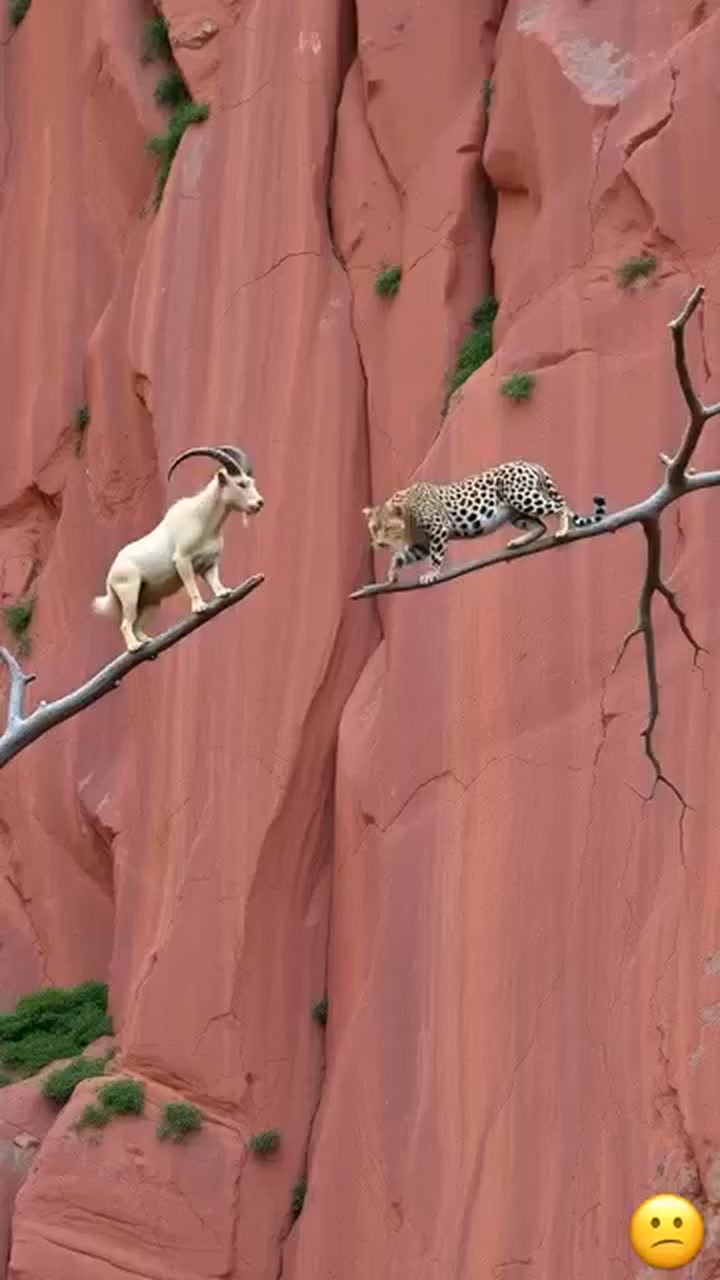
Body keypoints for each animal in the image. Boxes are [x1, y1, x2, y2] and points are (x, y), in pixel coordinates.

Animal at [91, 444, 264, 652]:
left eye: (251, 482)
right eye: (240, 484)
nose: (259, 503)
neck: (202, 519)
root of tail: (111, 575)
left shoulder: (209, 564)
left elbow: (214, 581)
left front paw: (224, 592)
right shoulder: (182, 559)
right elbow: (191, 584)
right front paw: (200, 608)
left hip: (150, 602)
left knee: (137, 625)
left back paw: (147, 642)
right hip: (129, 593)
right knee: (125, 624)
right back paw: (134, 647)